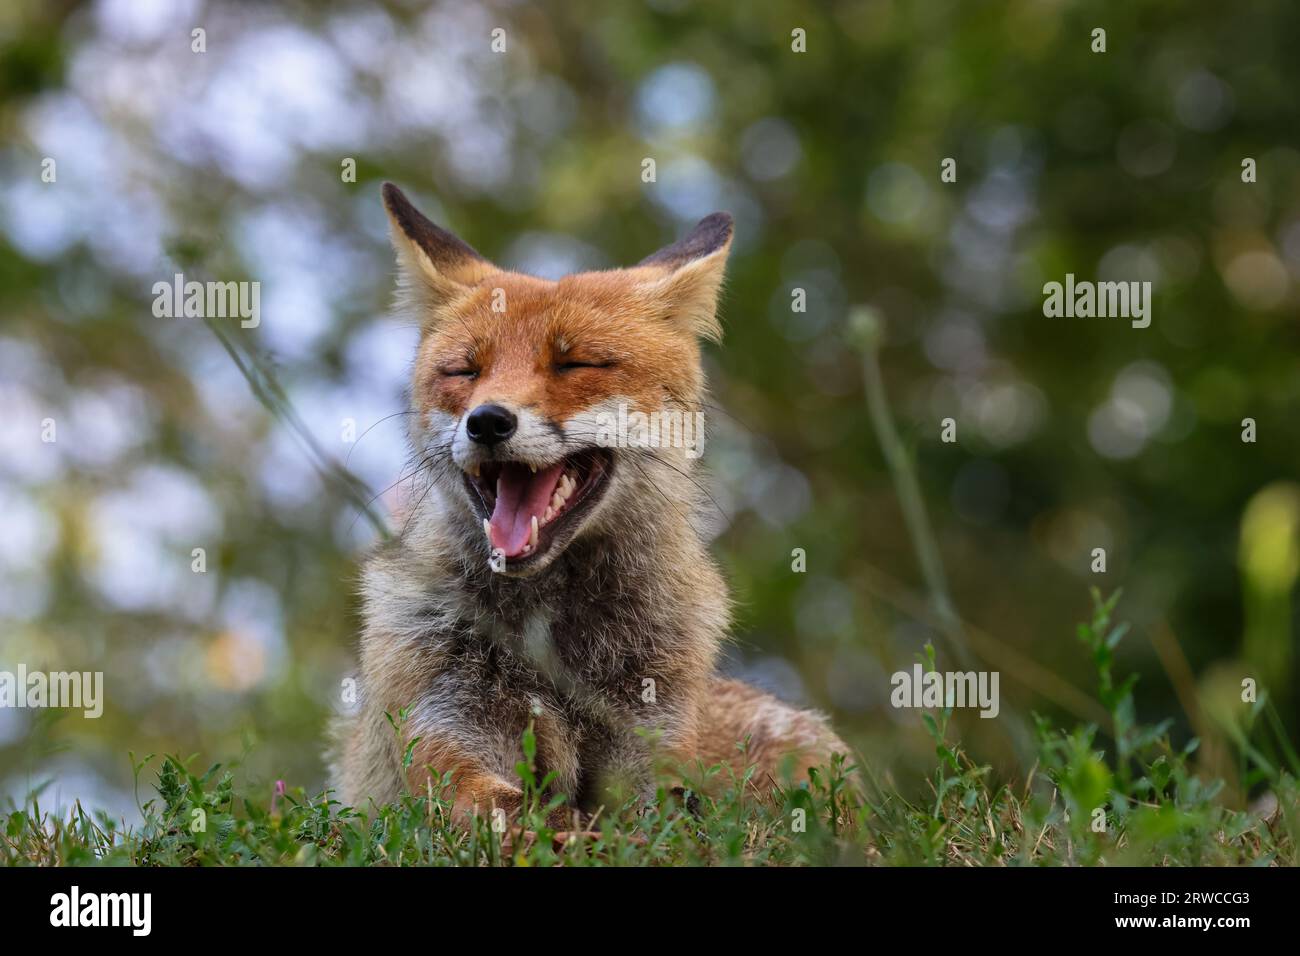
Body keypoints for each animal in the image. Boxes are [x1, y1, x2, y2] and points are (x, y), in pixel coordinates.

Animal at [331, 183, 854, 828]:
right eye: (464, 371)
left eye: (575, 363)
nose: (487, 421)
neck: (552, 646)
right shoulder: (446, 734)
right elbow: (517, 813)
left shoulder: (652, 745)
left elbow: (661, 818)